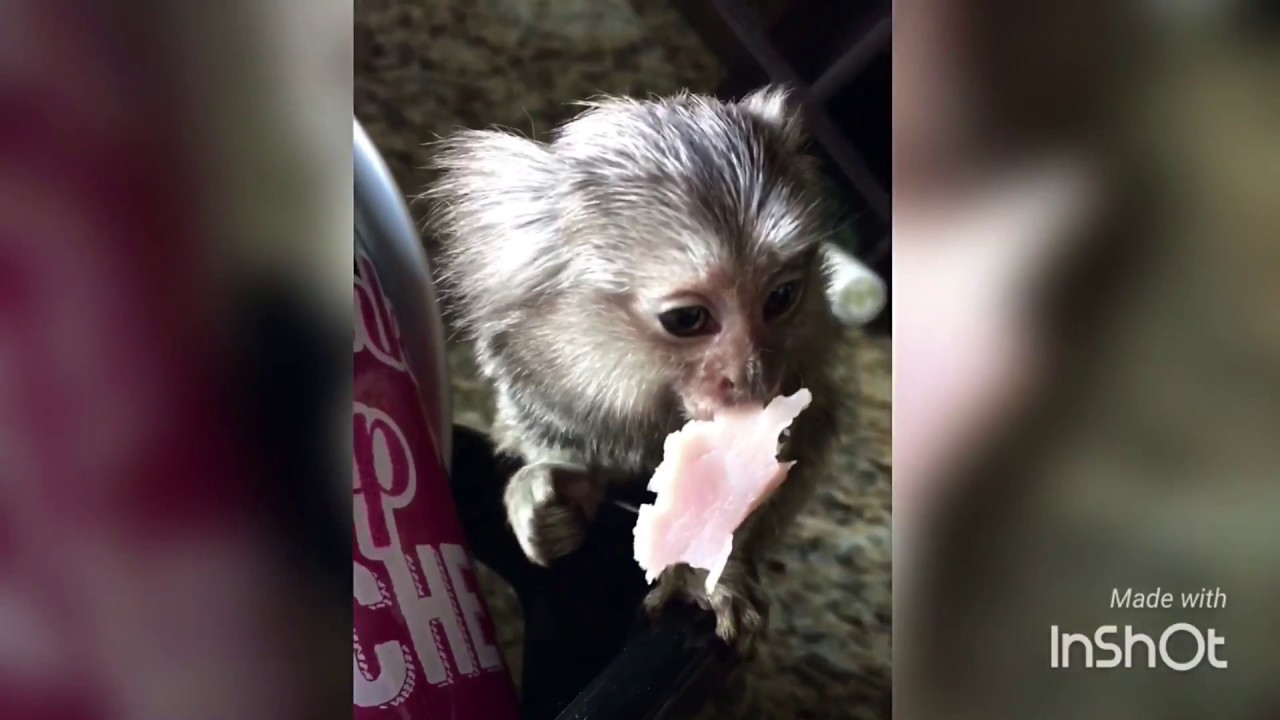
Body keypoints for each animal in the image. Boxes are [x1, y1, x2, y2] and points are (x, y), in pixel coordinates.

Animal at [424, 86, 843, 655]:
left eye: (781, 298)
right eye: (687, 319)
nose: (750, 375)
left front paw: (706, 577)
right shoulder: (537, 387)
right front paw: (547, 498)